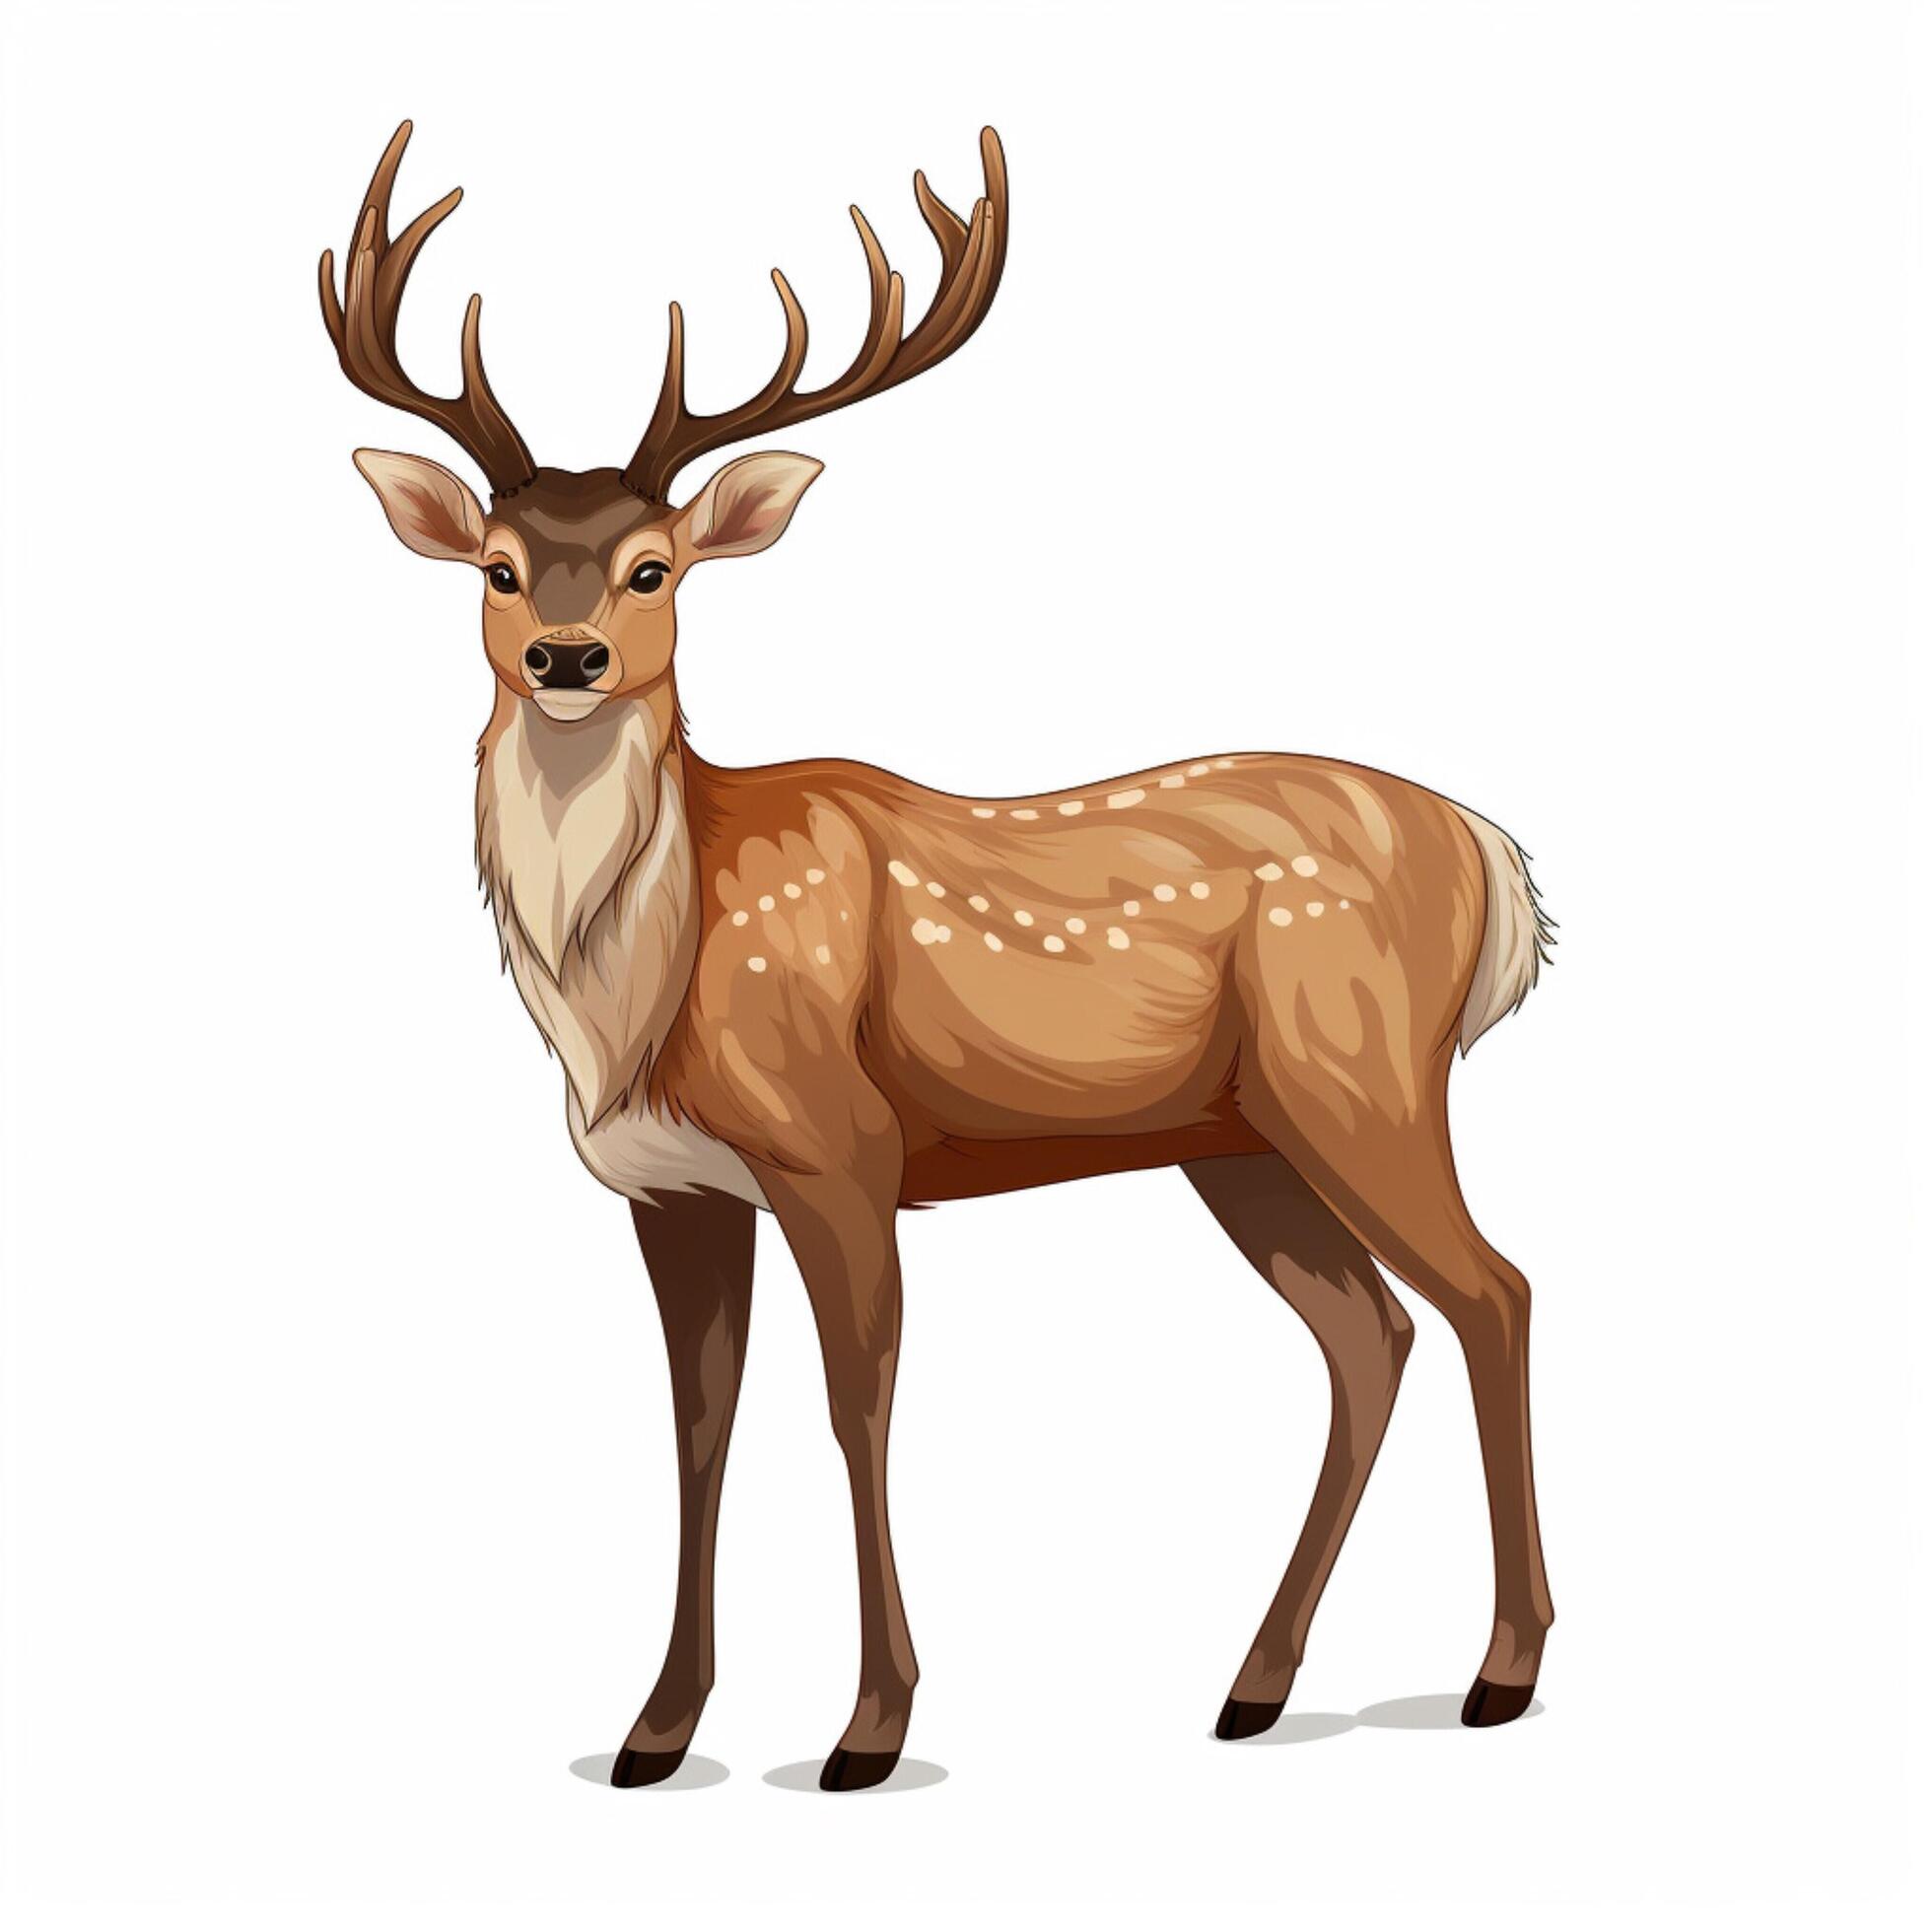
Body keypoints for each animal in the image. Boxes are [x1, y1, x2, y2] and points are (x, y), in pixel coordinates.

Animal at [320, 120, 1556, 1792]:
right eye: (499, 567)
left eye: (654, 568)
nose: (566, 659)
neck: (644, 997)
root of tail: (1494, 859)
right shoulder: (670, 1189)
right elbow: (697, 1426)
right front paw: (655, 1731)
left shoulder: (838, 1145)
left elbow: (859, 1405)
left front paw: (870, 1730)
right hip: (1239, 1137)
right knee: (1370, 1335)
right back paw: (1253, 1686)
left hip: (1359, 1073)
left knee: (1495, 1293)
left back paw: (1501, 1673)